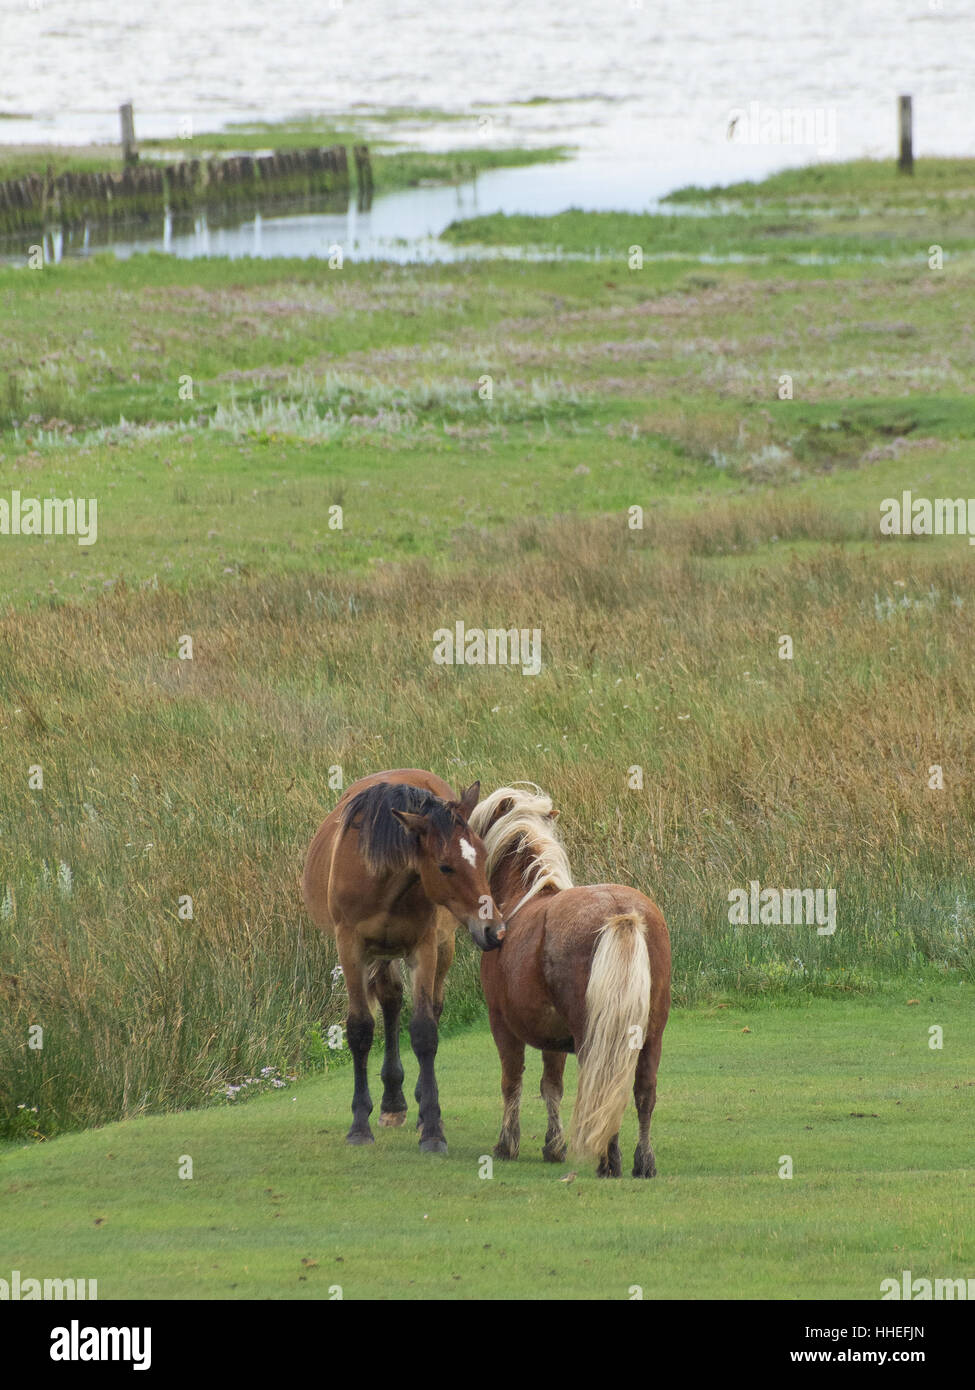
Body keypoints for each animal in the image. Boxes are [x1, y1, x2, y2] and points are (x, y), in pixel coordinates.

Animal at [302, 769, 506, 1154]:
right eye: (445, 866)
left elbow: (425, 1030)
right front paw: (359, 1125)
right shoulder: (351, 949)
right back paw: (392, 1103)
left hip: (441, 947)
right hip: (382, 954)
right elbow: (360, 1029)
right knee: (391, 1000)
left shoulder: (423, 948)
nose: (495, 930)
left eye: (483, 854)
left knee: (429, 1007)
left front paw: (433, 1128)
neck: (382, 876)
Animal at [468, 784, 671, 1178]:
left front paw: (507, 1144)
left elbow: (512, 1083)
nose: (487, 934)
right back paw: (644, 1162)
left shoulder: (502, 1025)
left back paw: (609, 1160)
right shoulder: (553, 1036)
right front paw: (553, 1145)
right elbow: (552, 1087)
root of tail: (620, 911)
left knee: (602, 1083)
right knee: (642, 1091)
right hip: (651, 1034)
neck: (524, 896)